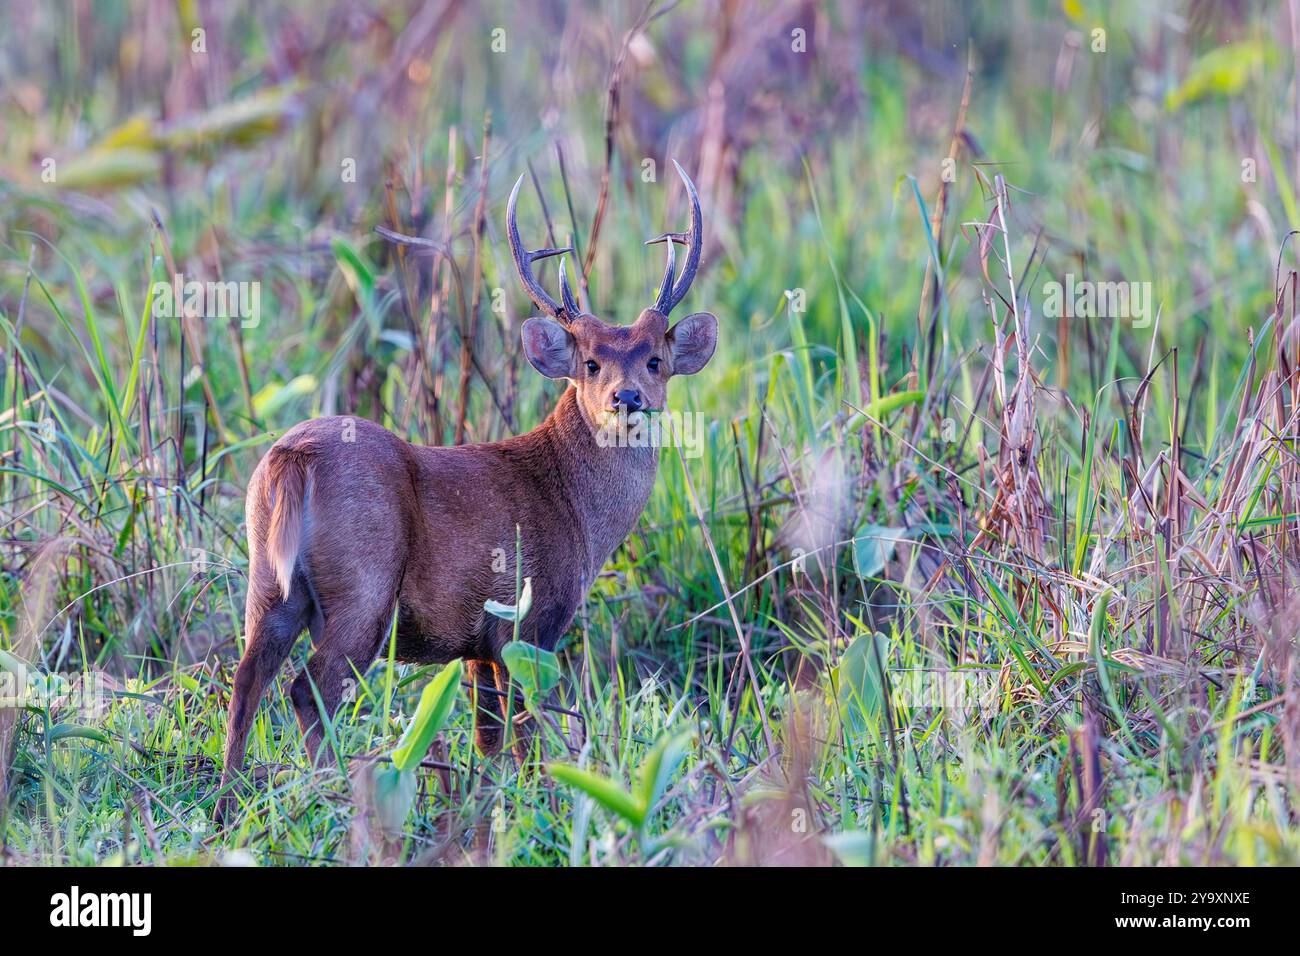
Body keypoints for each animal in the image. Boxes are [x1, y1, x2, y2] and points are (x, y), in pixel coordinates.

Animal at [214, 162, 716, 822]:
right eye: (589, 363)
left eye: (655, 359)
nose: (626, 398)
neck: (574, 508)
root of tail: (290, 459)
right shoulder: (529, 617)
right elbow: (526, 731)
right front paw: (536, 803)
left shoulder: (476, 642)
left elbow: (487, 738)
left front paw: (487, 803)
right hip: (364, 581)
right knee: (309, 686)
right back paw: (331, 794)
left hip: (266, 578)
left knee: (248, 676)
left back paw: (226, 800)